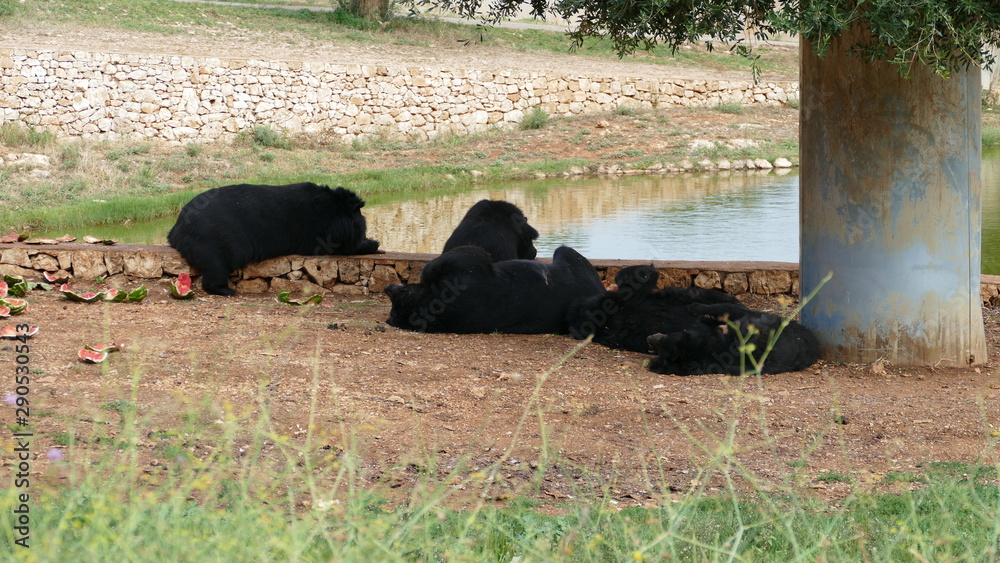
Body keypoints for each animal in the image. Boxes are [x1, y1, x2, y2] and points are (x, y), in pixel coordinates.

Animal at [167, 182, 380, 296]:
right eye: (361, 220)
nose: (366, 229)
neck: (335, 210)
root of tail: (178, 226)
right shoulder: (323, 230)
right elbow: (341, 246)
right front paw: (373, 243)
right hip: (214, 241)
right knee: (215, 266)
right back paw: (226, 290)